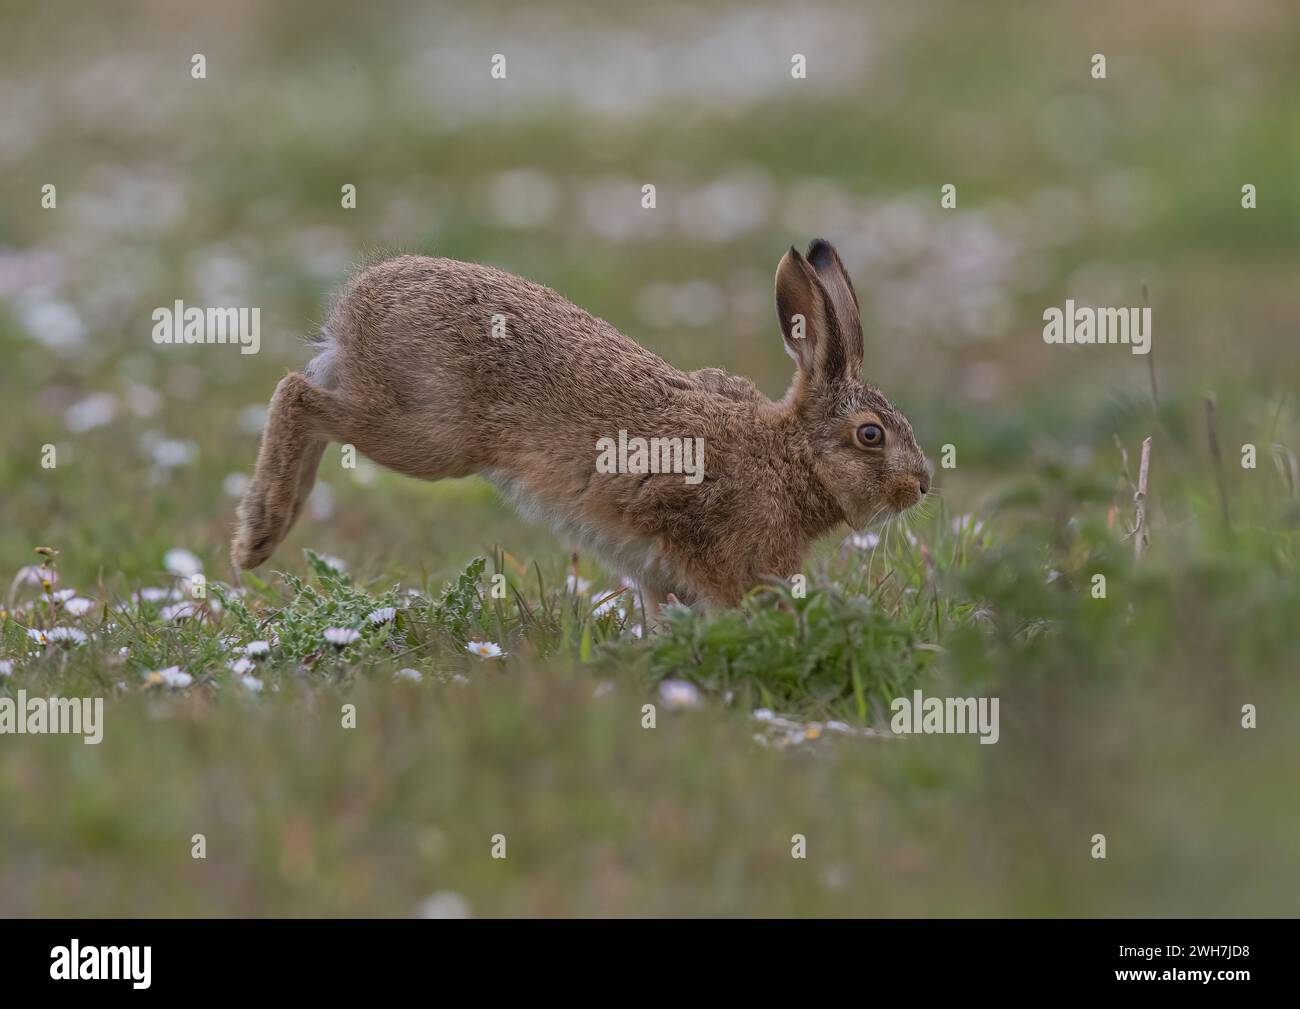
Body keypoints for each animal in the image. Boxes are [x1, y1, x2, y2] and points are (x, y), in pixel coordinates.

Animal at [231, 238, 930, 617]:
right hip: (431, 436)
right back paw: (258, 534)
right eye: (871, 435)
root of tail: (354, 304)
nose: (922, 485)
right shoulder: (719, 552)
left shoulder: (657, 570)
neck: (790, 458)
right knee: (295, 395)